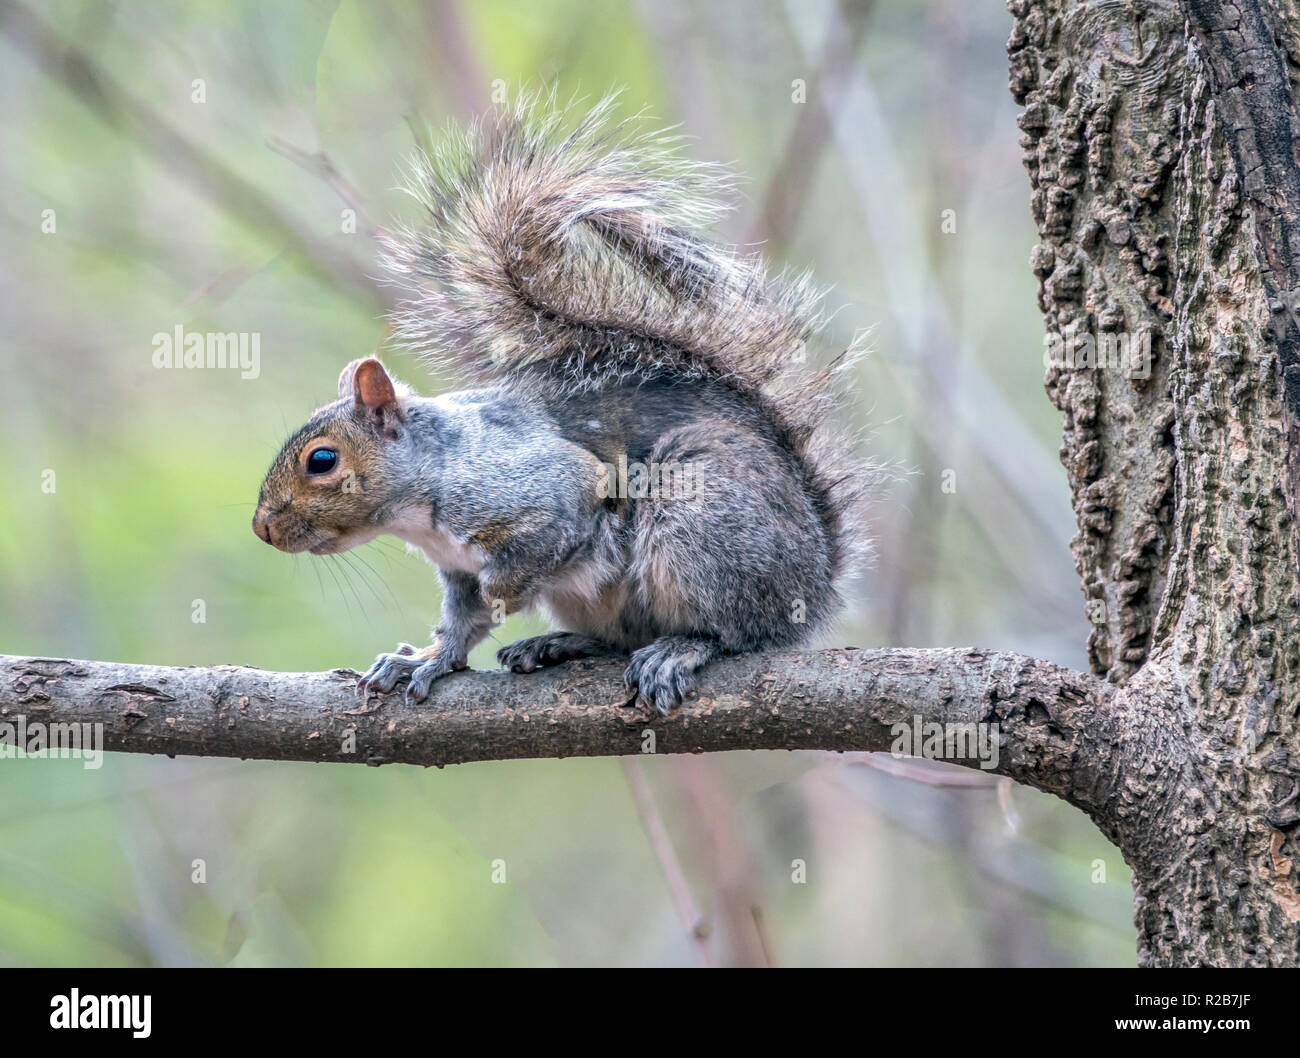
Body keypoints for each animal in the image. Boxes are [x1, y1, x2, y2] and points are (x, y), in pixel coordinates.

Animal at [252, 94, 872, 714]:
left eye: (322, 461)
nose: (263, 531)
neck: (429, 484)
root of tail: (816, 586)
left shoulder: (540, 490)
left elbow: (523, 563)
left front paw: (505, 595)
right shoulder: (455, 570)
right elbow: (462, 623)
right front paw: (424, 660)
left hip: (703, 517)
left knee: (738, 632)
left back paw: (681, 648)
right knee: (621, 640)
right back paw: (561, 643)